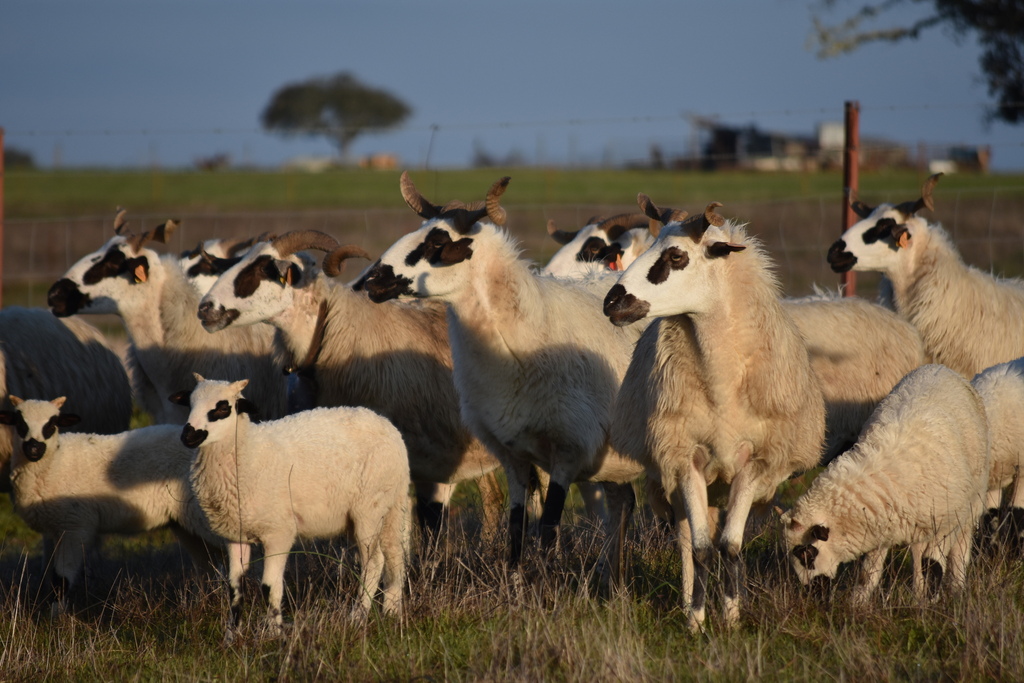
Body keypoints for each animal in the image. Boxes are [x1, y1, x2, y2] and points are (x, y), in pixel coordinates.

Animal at [0, 396, 226, 609]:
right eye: (20, 423)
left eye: (52, 424)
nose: (33, 449)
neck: (54, 461)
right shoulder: (57, 528)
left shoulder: (76, 525)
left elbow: (61, 580)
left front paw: (56, 618)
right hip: (185, 523)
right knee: (206, 565)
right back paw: (199, 604)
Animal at [171, 375, 410, 632]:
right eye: (190, 403)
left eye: (223, 408)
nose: (188, 436)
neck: (247, 451)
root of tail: (388, 427)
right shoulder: (236, 535)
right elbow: (234, 589)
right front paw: (232, 635)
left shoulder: (279, 533)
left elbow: (269, 586)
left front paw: (273, 632)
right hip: (389, 507)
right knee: (395, 556)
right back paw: (392, 612)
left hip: (369, 509)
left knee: (374, 562)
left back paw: (358, 616)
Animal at [360, 172, 645, 583]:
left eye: (438, 242)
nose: (372, 281)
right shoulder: (512, 453)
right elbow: (516, 528)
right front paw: (514, 584)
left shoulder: (568, 450)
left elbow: (548, 527)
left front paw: (548, 584)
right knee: (623, 504)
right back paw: (613, 580)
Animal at [604, 198, 826, 630]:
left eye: (676, 256)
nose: (611, 303)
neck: (722, 381)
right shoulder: (684, 459)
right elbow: (703, 549)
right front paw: (697, 620)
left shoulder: (754, 463)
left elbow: (731, 546)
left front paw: (733, 617)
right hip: (681, 478)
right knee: (687, 538)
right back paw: (688, 602)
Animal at [781, 364, 990, 604]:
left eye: (806, 552)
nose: (813, 593)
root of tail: (937, 367)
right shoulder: (880, 528)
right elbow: (868, 572)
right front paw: (858, 604)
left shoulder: (946, 524)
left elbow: (933, 565)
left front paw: (931, 603)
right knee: (918, 553)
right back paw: (919, 591)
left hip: (973, 499)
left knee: (961, 546)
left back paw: (956, 587)